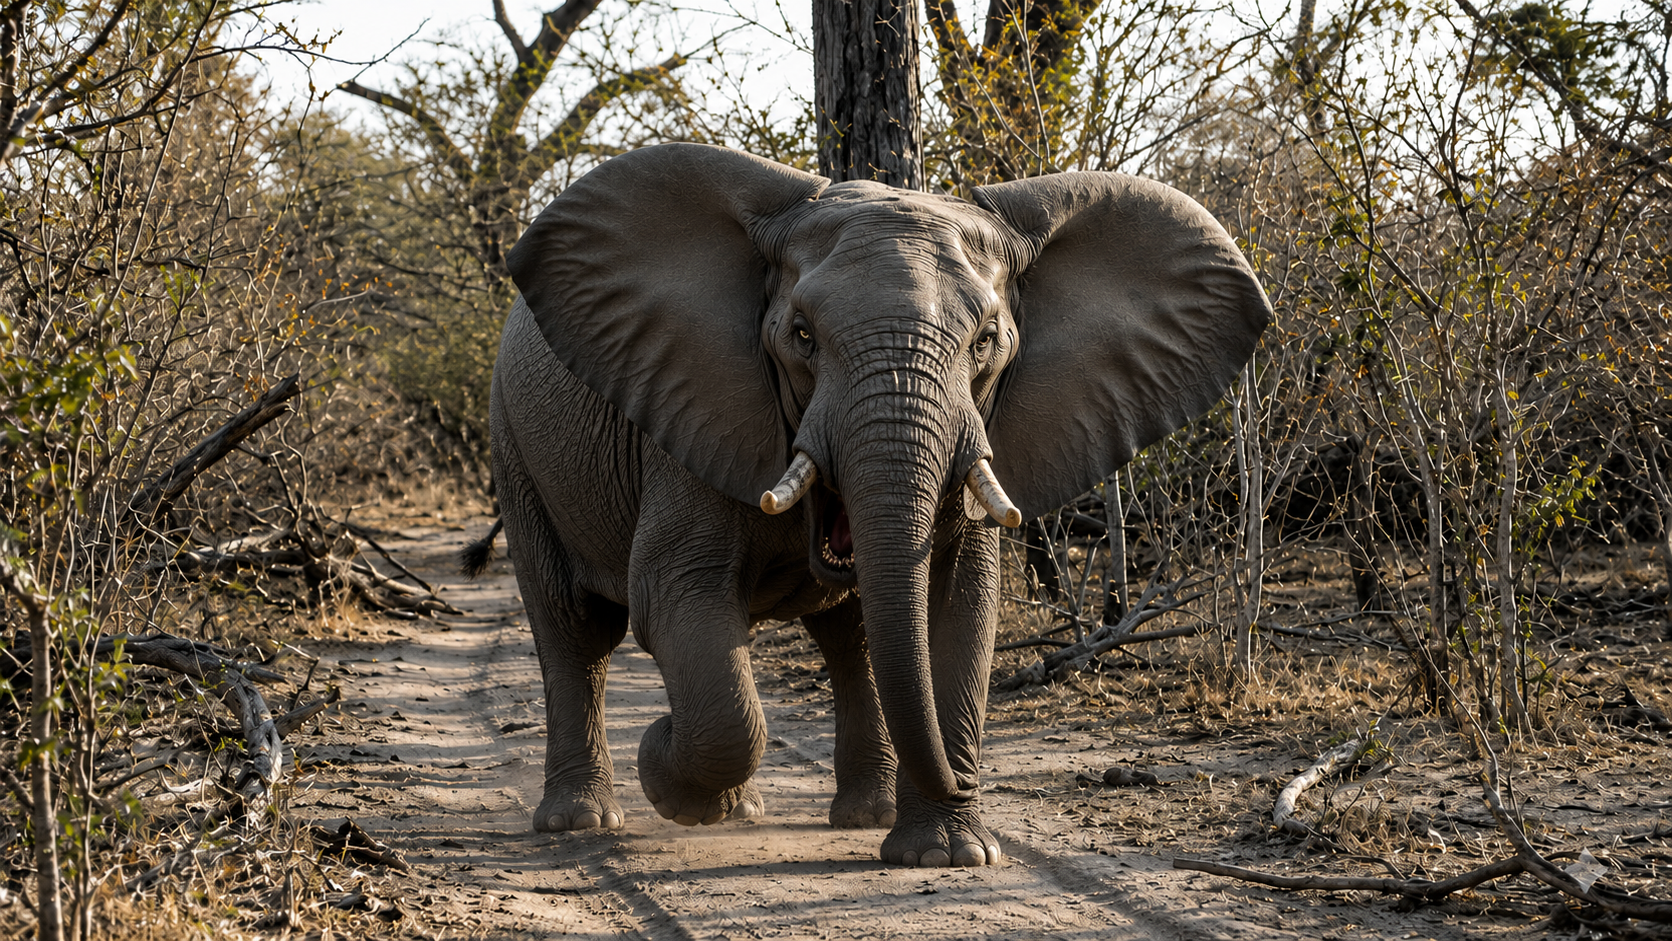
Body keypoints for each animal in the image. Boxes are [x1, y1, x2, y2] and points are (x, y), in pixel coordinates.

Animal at [480, 142, 1270, 868]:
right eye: (801, 336)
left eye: (987, 341)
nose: (962, 780)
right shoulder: (688, 412)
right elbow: (679, 602)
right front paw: (667, 769)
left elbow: (958, 604)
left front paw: (951, 857)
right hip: (513, 442)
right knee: (574, 627)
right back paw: (586, 821)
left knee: (853, 639)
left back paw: (857, 815)